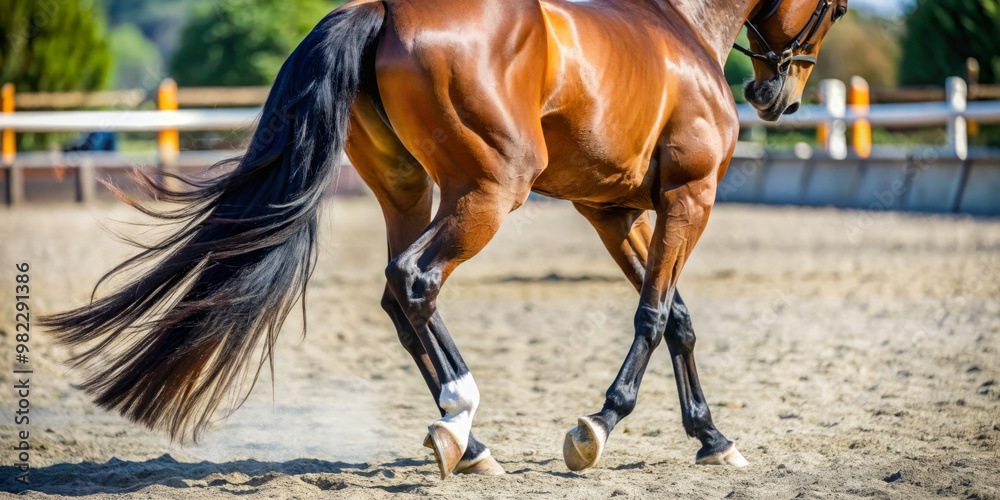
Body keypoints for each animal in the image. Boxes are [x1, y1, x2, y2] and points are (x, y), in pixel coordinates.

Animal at [41, 0, 846, 479]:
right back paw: (461, 416)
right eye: (835, 6)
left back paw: (471, 443)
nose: (778, 96)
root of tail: (382, 9)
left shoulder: (614, 213)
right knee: (417, 279)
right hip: (488, 191)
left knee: (398, 294)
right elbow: (654, 316)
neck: (681, 28)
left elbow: (677, 318)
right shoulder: (687, 198)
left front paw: (712, 437)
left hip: (409, 188)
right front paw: (598, 425)